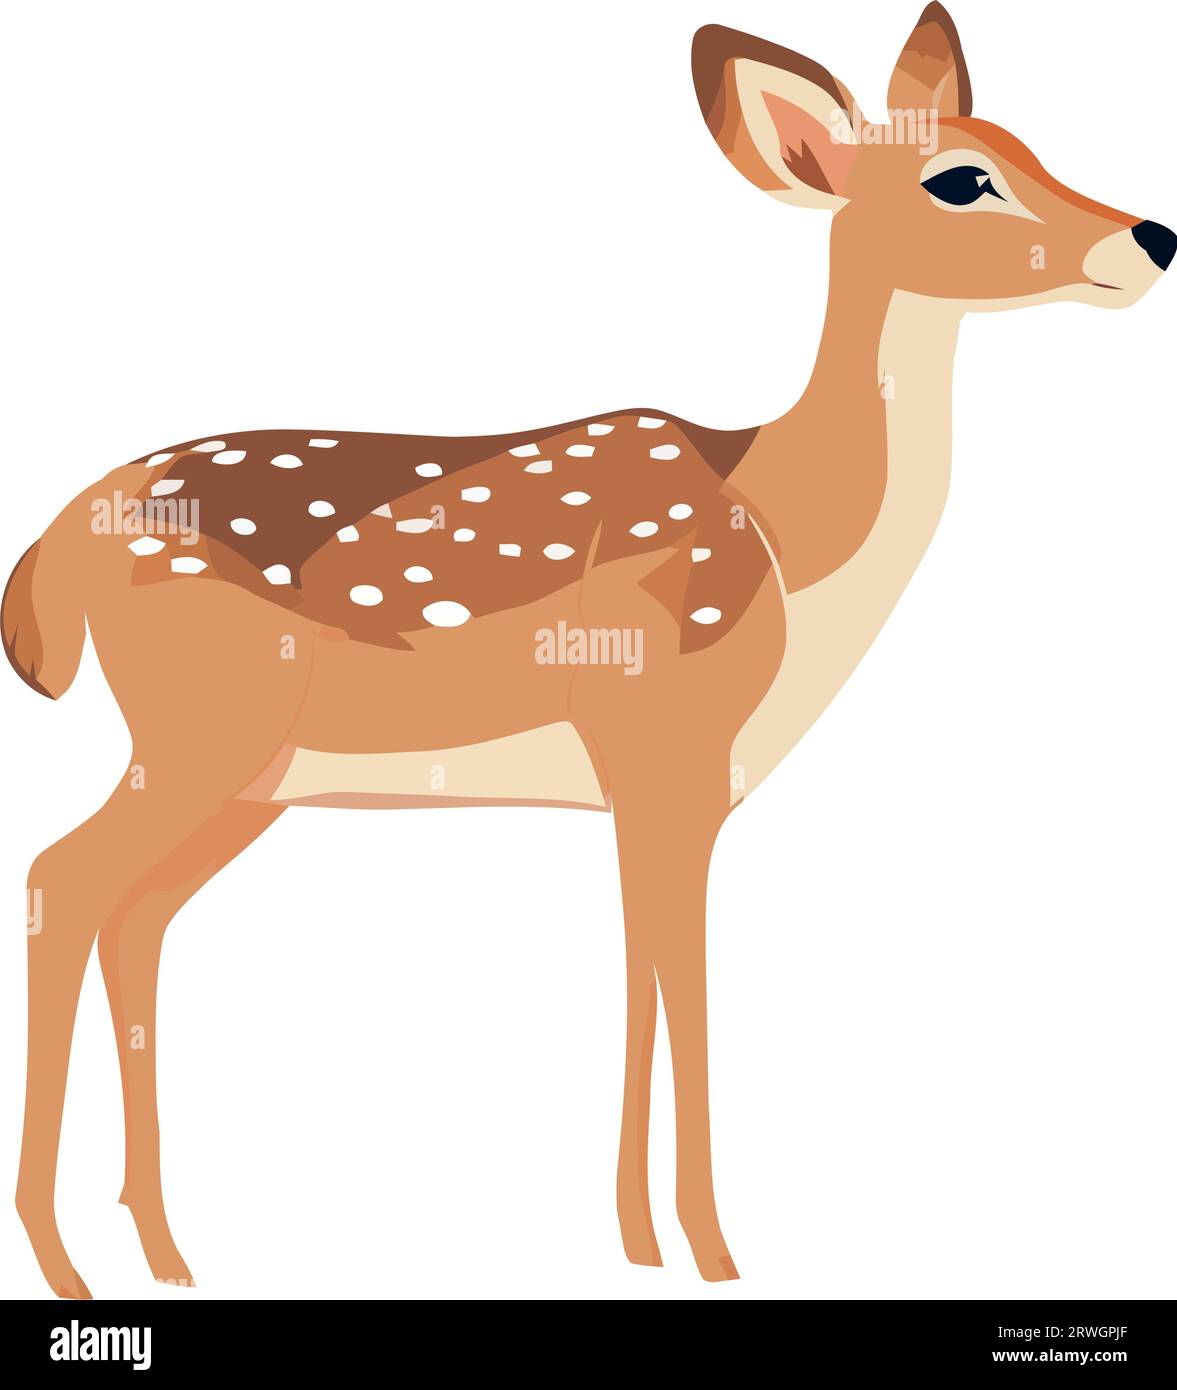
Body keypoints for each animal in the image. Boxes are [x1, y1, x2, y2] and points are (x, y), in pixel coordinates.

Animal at [4, 4, 1171, 1299]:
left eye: (1028, 140)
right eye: (961, 177)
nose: (1153, 236)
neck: (785, 538)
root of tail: (51, 550)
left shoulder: (652, 787)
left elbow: (642, 977)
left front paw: (640, 1242)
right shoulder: (667, 744)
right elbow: (681, 982)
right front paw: (712, 1252)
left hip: (251, 777)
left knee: (135, 918)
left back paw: (164, 1249)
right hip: (203, 731)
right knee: (62, 878)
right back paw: (66, 1259)